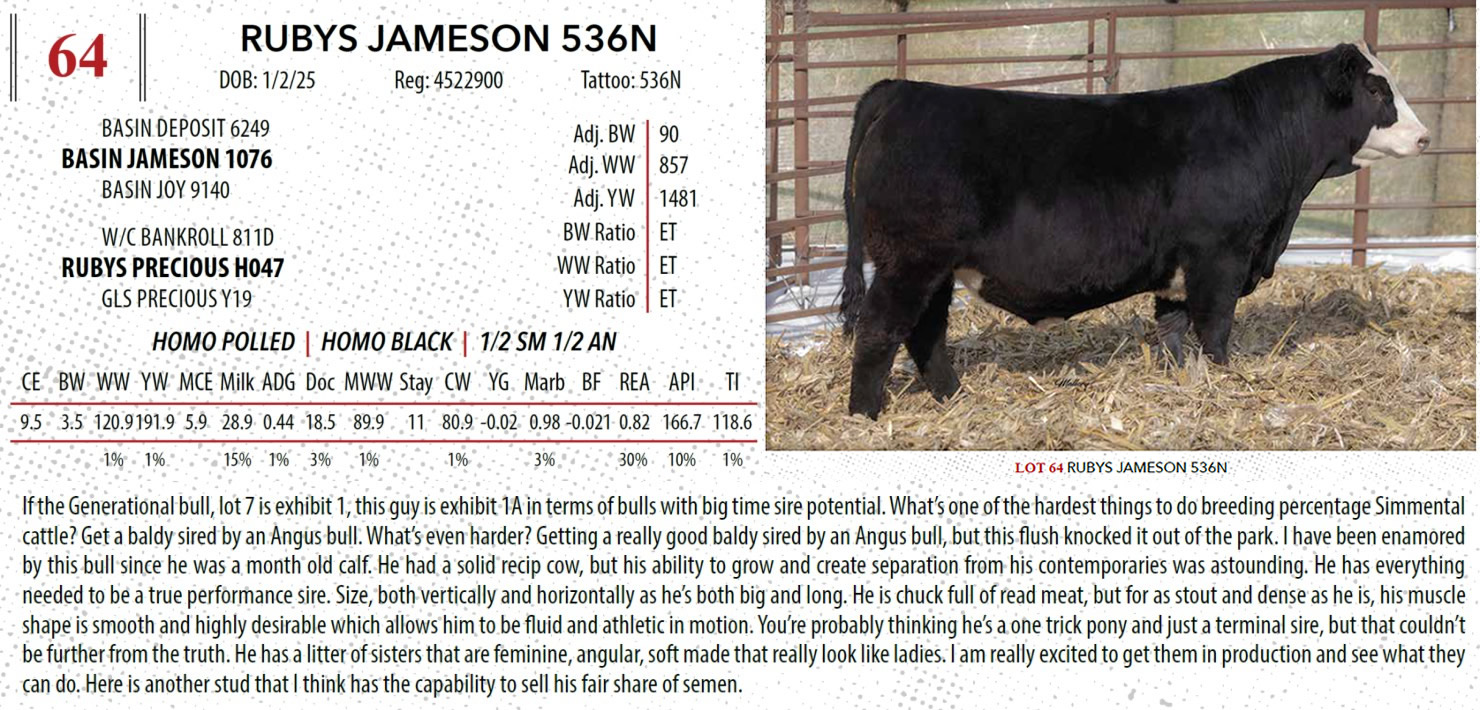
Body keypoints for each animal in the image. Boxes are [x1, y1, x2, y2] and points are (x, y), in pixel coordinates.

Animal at [838, 42, 1429, 419]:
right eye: (1377, 92)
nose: (1423, 138)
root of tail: (902, 89)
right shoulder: (1220, 256)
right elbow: (1215, 330)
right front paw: (1223, 380)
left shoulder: (1179, 269)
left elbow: (1174, 332)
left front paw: (1184, 382)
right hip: (910, 263)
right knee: (880, 331)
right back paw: (865, 415)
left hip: (933, 270)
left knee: (926, 333)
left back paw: (952, 398)